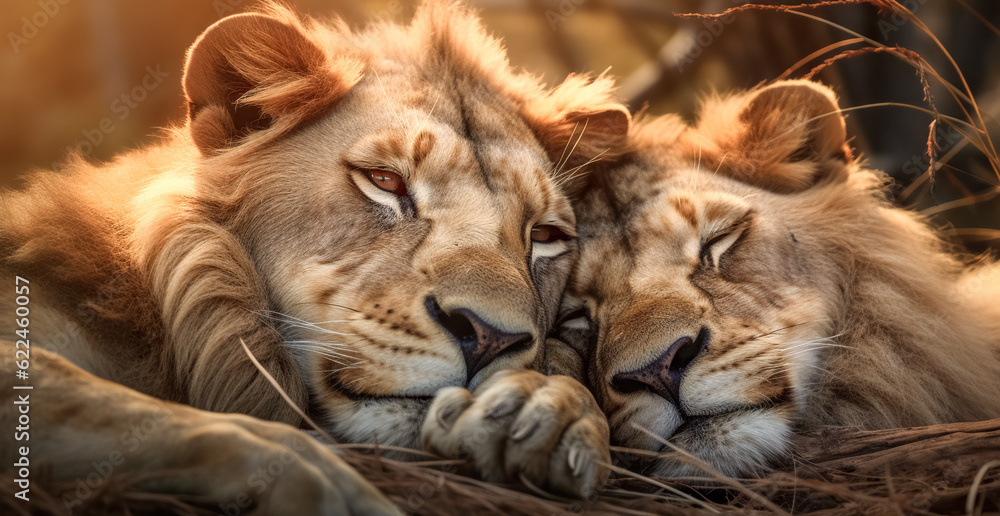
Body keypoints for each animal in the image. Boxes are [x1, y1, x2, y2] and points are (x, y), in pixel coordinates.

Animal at [0, 1, 627, 510]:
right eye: (384, 181)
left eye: (544, 235)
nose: (492, 339)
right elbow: (123, 406)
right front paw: (328, 483)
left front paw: (548, 411)